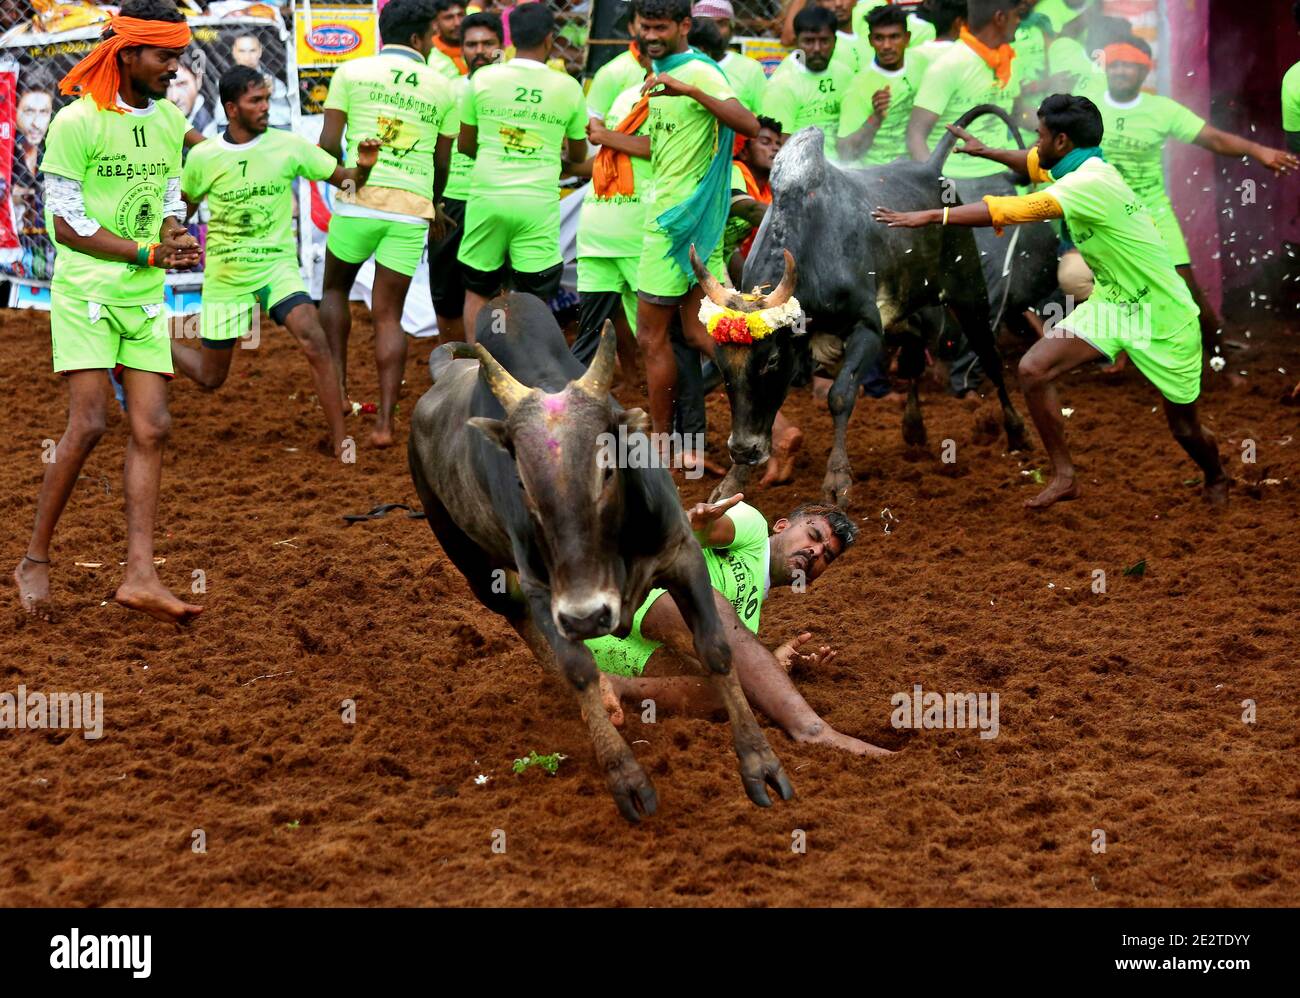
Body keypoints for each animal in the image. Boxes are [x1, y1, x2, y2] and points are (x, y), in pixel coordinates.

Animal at [408, 293, 793, 823]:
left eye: (607, 468)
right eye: (522, 482)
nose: (588, 615)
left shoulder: (682, 554)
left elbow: (716, 649)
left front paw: (761, 763)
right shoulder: (547, 593)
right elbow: (579, 668)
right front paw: (624, 775)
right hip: (476, 567)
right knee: (522, 621)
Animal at [705, 104, 1057, 507]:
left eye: (772, 360)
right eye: (722, 364)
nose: (743, 450)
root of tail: (930, 169)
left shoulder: (867, 327)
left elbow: (840, 396)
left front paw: (837, 480)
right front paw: (732, 481)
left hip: (969, 295)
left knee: (990, 357)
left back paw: (1016, 432)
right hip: (909, 311)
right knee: (914, 355)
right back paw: (914, 428)